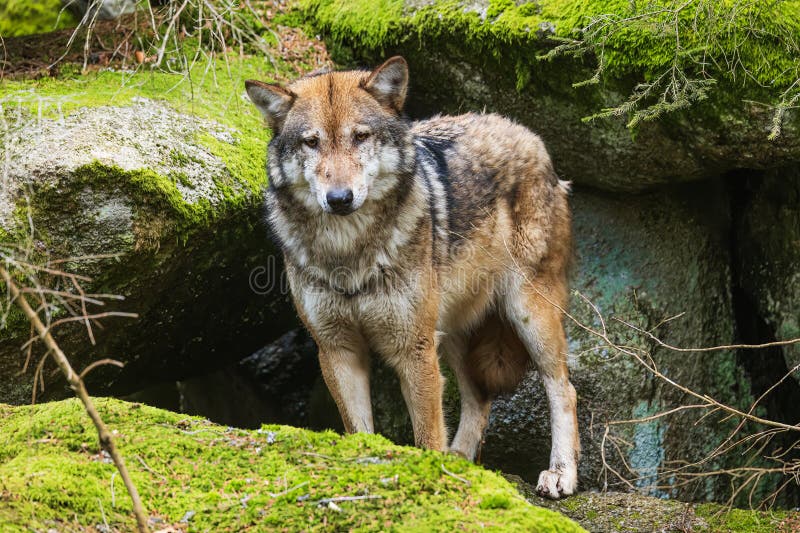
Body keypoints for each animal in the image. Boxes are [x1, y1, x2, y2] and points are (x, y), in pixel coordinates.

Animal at [245, 56, 579, 498]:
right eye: (311, 143)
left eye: (360, 137)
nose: (339, 199)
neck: (348, 252)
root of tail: (527, 134)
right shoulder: (337, 349)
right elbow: (359, 431)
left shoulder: (413, 348)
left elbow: (427, 434)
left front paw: (433, 479)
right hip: (452, 334)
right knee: (479, 399)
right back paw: (463, 463)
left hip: (528, 315)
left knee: (563, 389)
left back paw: (560, 473)